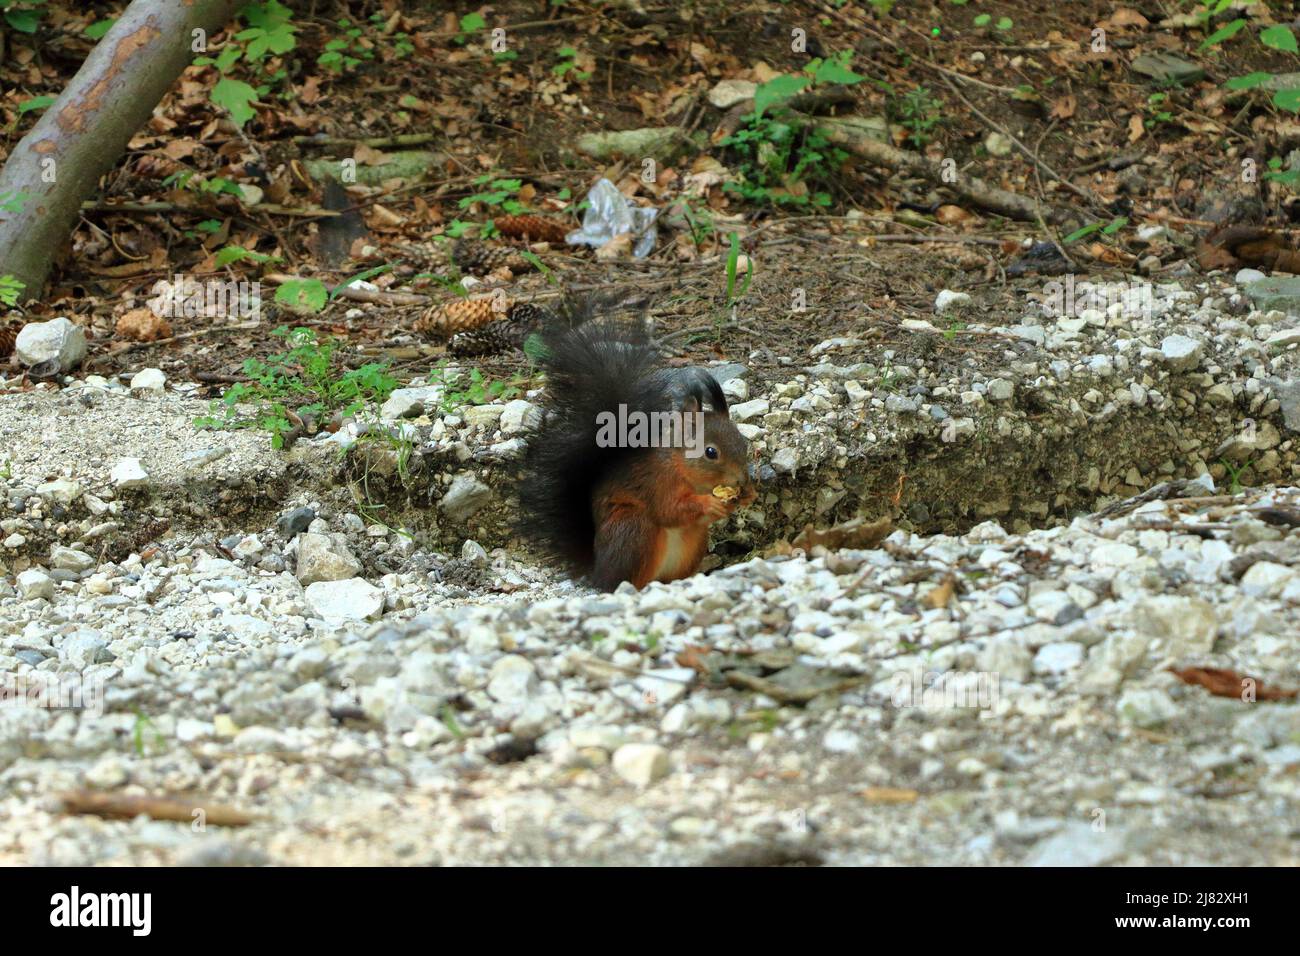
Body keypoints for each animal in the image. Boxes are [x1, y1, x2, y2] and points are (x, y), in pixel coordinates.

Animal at [519, 302, 755, 591]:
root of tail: (597, 571)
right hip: (634, 529)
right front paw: (709, 504)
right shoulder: (657, 483)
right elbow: (670, 510)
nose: (741, 479)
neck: (681, 467)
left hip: (693, 543)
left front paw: (749, 494)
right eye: (711, 452)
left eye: (742, 441)